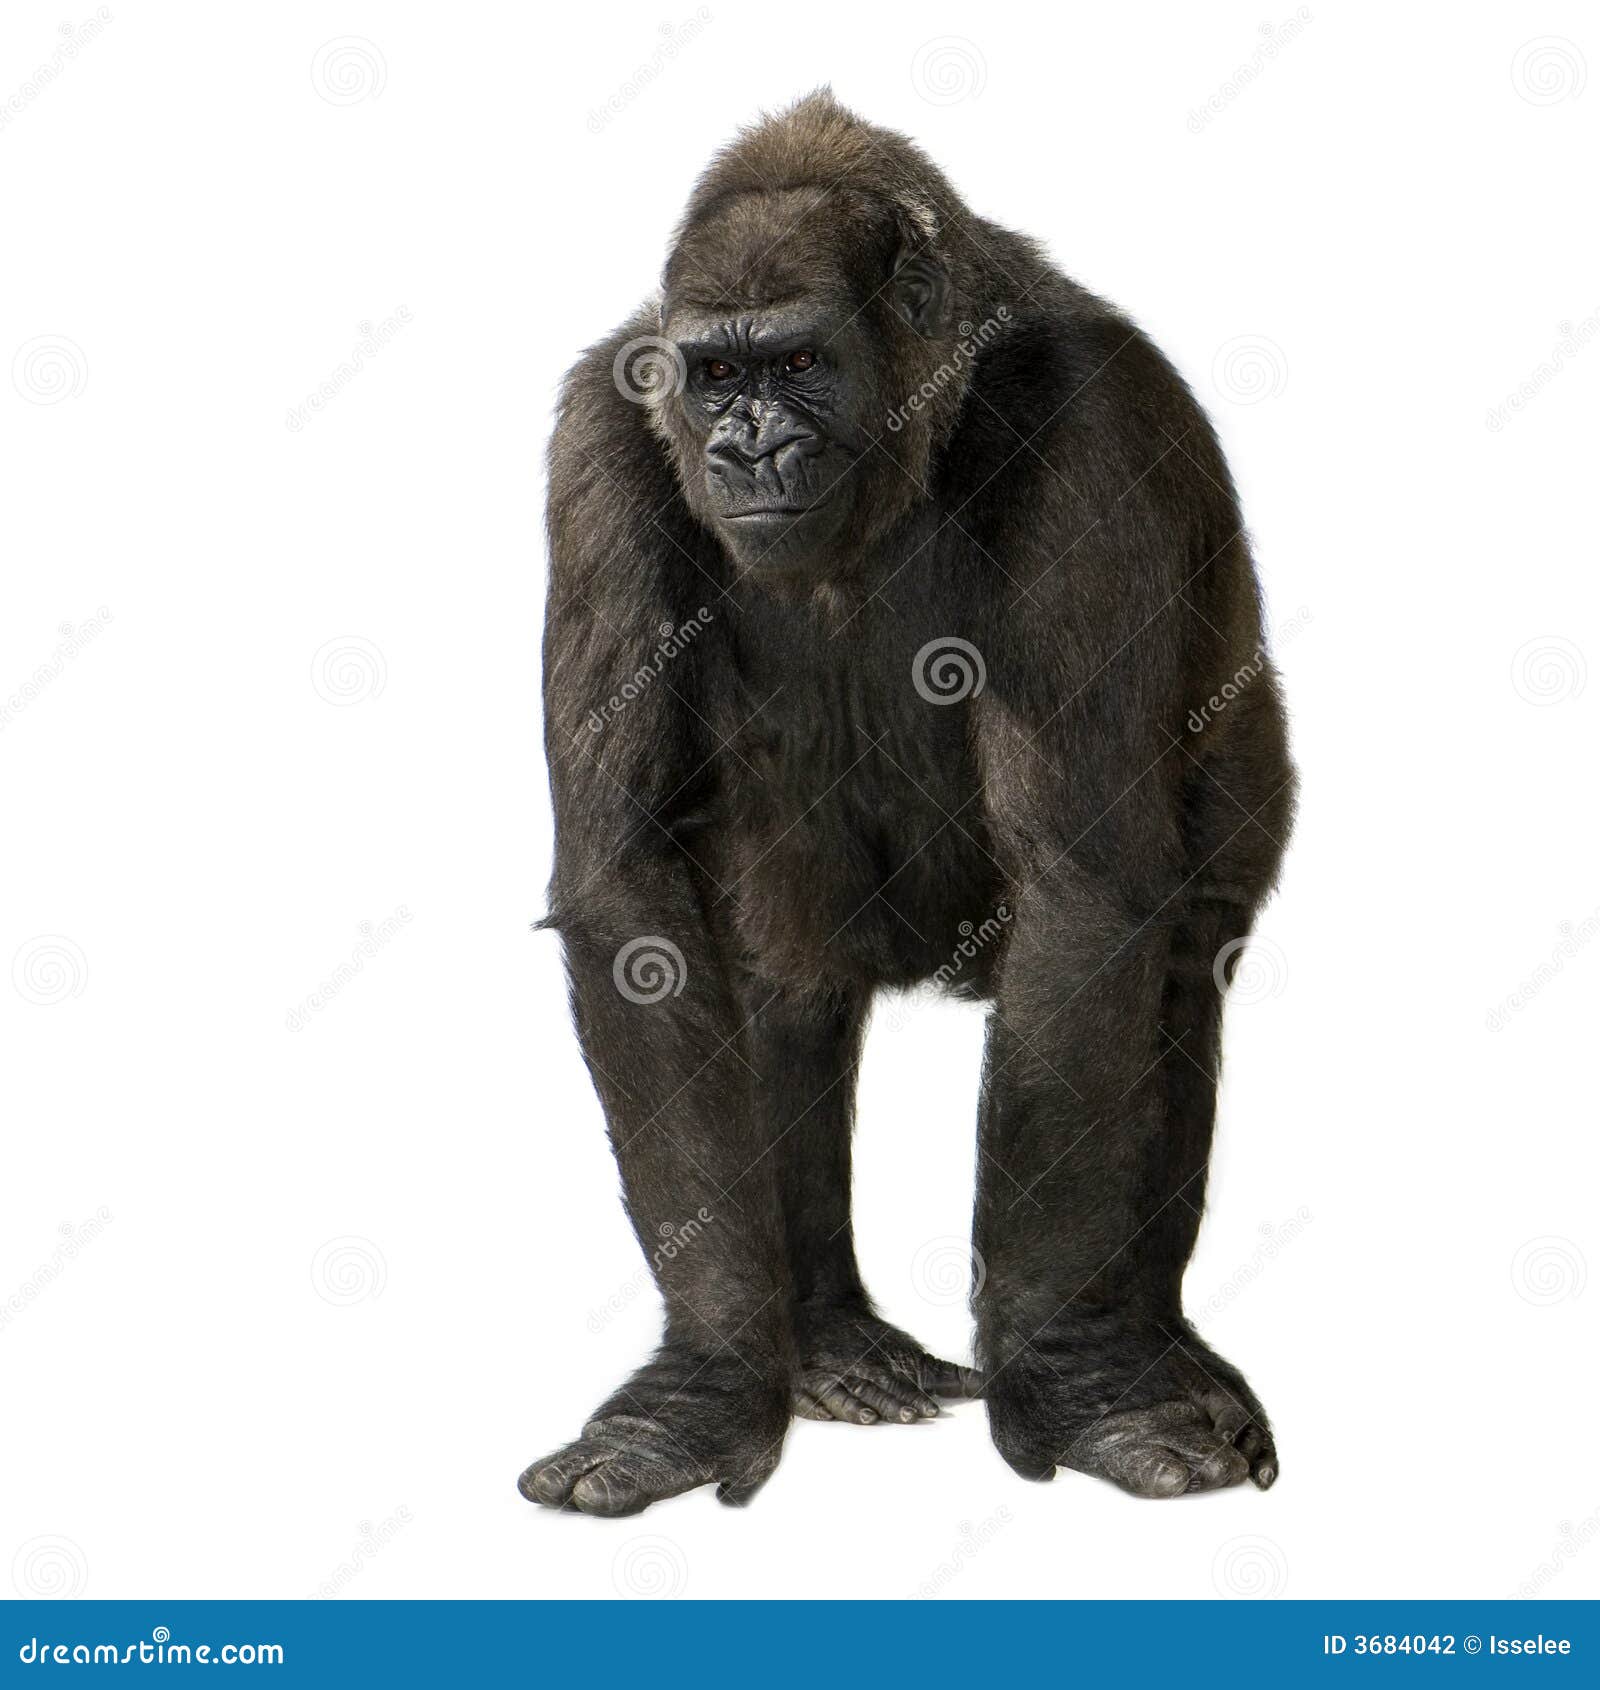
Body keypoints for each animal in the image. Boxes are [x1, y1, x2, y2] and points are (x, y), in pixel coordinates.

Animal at [521, 90, 1294, 1518]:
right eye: (718, 377)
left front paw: (1074, 1380)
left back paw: (1152, 1343)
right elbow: (631, 899)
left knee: (1176, 947)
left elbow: (1085, 894)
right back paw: (821, 1338)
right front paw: (706, 1383)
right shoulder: (595, 446)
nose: (747, 445)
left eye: (798, 364)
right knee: (779, 973)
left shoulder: (1092, 426)